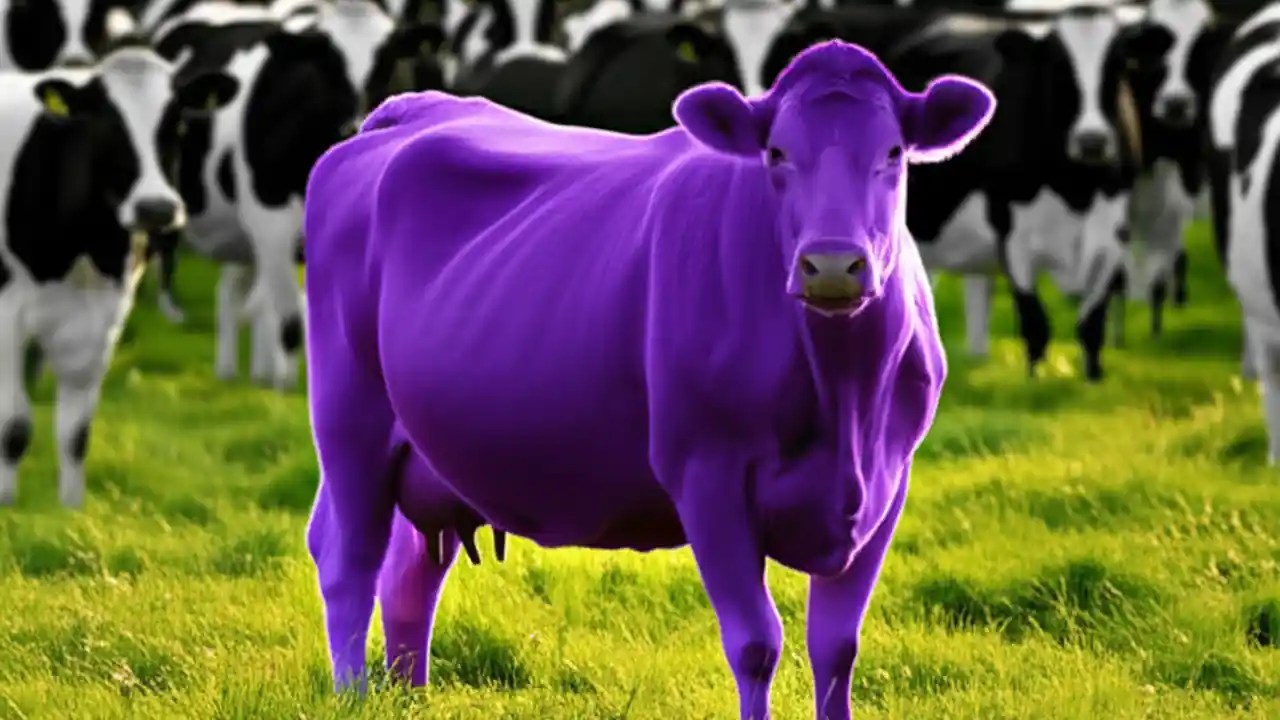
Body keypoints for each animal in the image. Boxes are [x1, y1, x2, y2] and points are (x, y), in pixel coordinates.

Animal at [0, 41, 236, 507]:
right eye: (103, 126)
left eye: (176, 122)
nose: (155, 208)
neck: (86, 252)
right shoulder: (7, 316)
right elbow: (14, 425)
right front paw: (6, 500)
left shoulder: (103, 318)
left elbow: (75, 433)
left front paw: (70, 510)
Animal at [144, 0, 445, 391]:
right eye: (326, 64)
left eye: (387, 60)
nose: (355, 125)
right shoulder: (270, 223)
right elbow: (291, 321)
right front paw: (285, 388)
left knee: (234, 292)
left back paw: (239, 370)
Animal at [301, 39, 994, 718]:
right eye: (775, 153)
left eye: (893, 153)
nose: (830, 264)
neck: (843, 396)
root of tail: (410, 108)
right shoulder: (706, 474)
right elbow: (756, 644)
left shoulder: (887, 484)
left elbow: (836, 646)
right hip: (349, 416)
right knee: (347, 558)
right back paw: (353, 694)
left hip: (425, 454)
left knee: (410, 572)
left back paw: (408, 696)